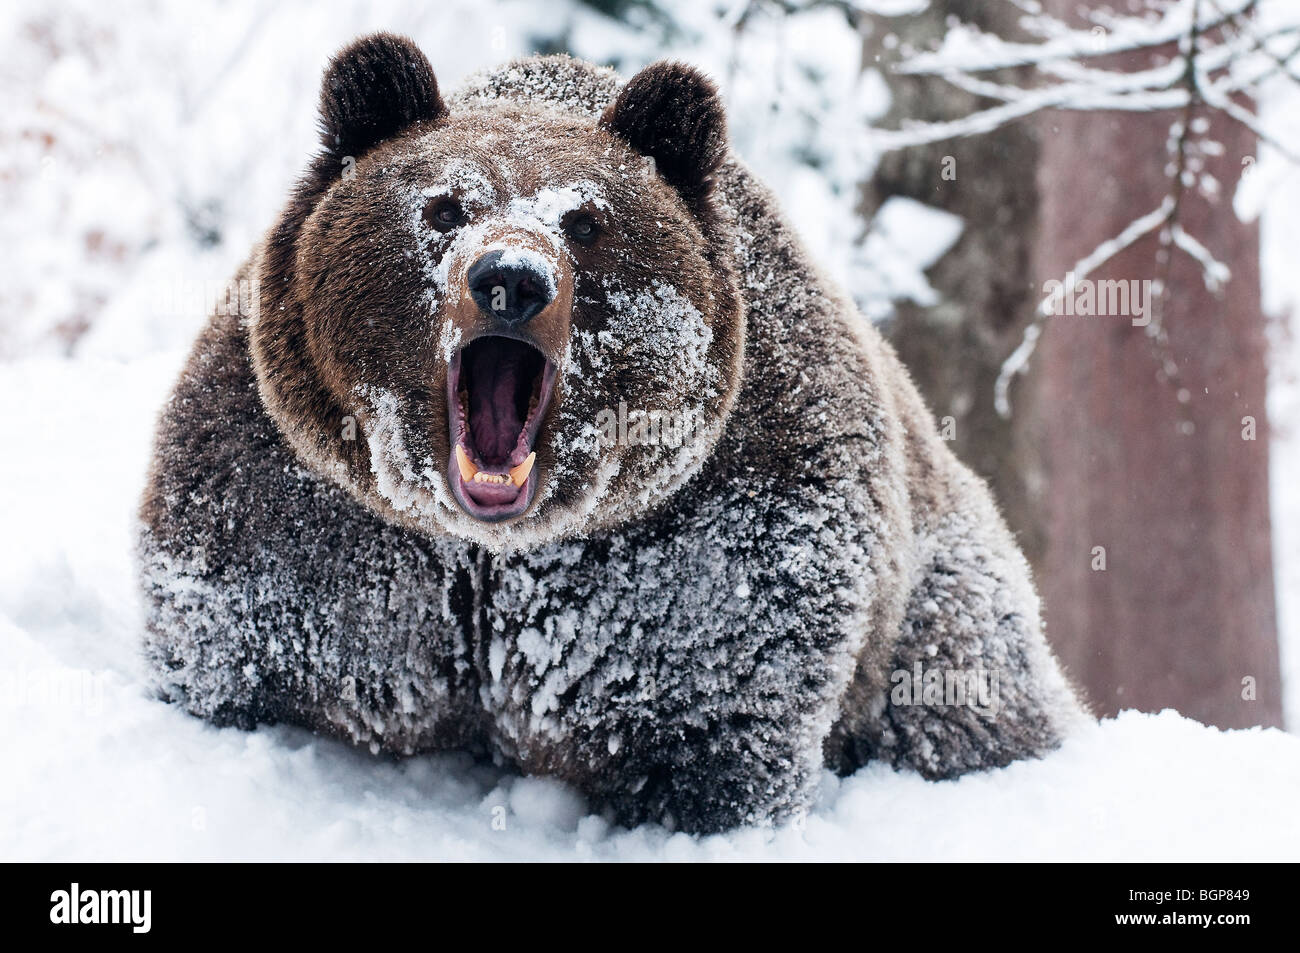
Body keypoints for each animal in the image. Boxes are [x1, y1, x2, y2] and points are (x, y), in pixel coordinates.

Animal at [138, 33, 1085, 834]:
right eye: (444, 206)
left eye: (586, 221)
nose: (511, 279)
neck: (493, 552)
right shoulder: (308, 515)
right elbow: (238, 647)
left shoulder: (709, 545)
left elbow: (713, 724)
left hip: (942, 604)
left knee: (962, 701)